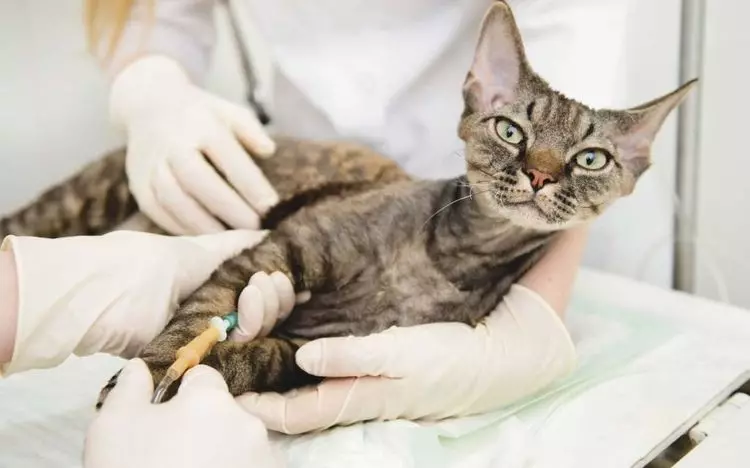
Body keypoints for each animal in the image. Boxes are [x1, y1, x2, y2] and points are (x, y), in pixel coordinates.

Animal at [0, 1, 696, 404]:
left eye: (590, 159)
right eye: (509, 130)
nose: (541, 175)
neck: (439, 261)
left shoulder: (312, 350)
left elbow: (252, 360)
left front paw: (202, 372)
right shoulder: (274, 249)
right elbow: (199, 311)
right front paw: (155, 369)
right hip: (87, 197)